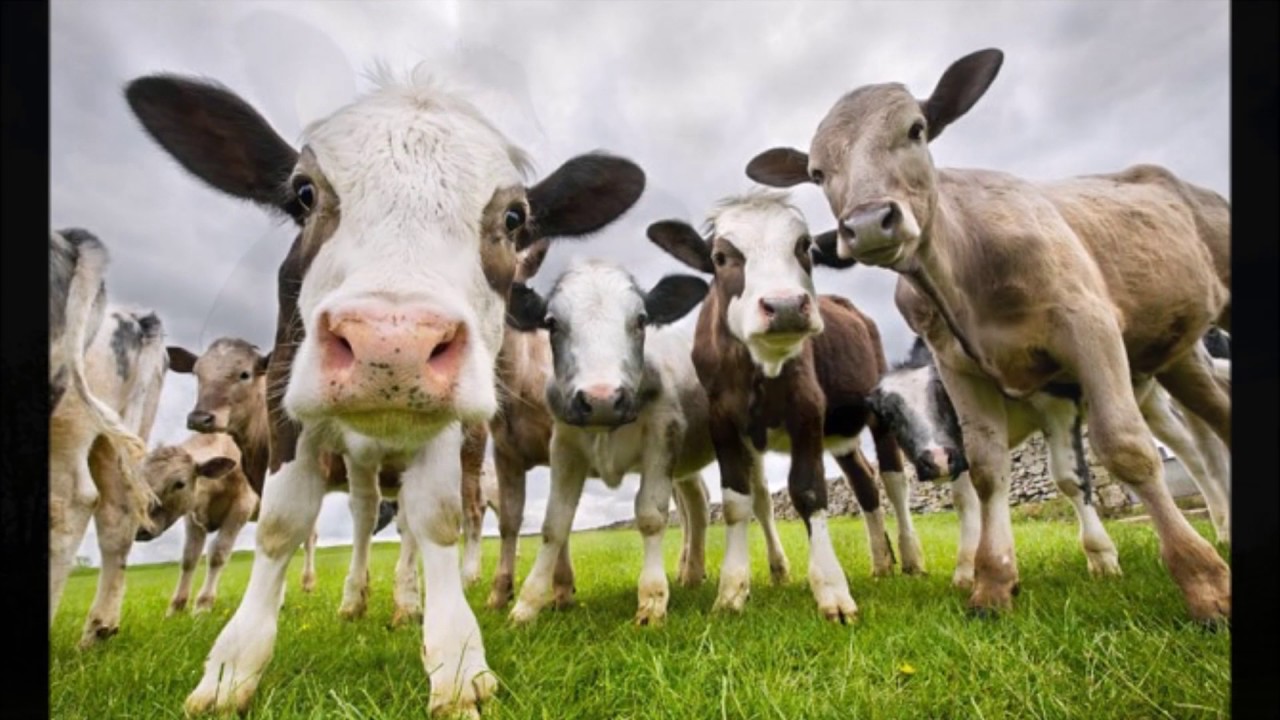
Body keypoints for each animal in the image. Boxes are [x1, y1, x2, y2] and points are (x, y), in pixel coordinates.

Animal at [132, 432, 246, 614]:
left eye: (180, 484)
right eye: (142, 480)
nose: (140, 529)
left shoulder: (241, 507)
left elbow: (218, 554)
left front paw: (203, 604)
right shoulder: (192, 516)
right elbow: (189, 557)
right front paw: (176, 608)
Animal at [503, 258, 713, 625]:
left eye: (641, 319)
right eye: (551, 324)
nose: (601, 398)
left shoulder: (663, 434)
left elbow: (651, 515)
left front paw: (652, 601)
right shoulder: (564, 446)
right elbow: (555, 523)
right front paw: (526, 605)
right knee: (698, 504)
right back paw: (691, 573)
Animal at [647, 190, 925, 622]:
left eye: (804, 246)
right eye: (721, 257)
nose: (787, 306)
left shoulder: (807, 410)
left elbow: (809, 492)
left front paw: (832, 591)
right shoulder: (723, 420)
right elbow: (736, 501)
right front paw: (731, 591)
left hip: (878, 409)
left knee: (893, 478)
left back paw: (910, 557)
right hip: (840, 431)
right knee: (864, 481)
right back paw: (881, 562)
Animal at [870, 334, 1232, 588]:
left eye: (942, 394)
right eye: (890, 413)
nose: (935, 459)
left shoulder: (1056, 404)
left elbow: (1068, 478)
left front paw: (1101, 557)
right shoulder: (961, 449)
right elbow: (965, 501)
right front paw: (966, 570)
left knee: (1202, 448)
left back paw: (1225, 527)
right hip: (1148, 399)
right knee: (1189, 452)